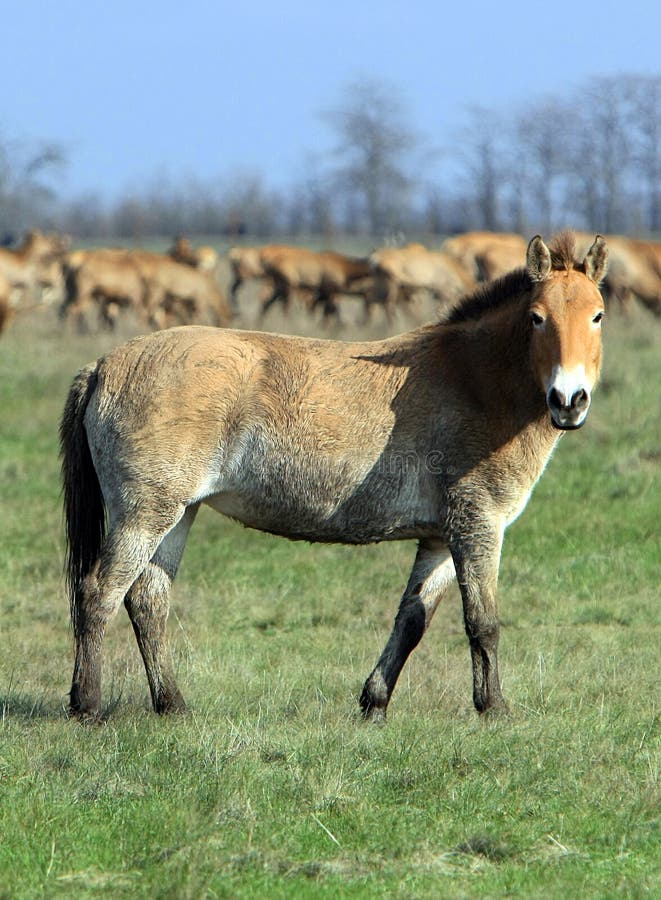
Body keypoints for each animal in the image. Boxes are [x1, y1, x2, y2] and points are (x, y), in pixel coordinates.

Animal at [60, 232, 608, 721]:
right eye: (537, 318)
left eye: (597, 316)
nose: (569, 399)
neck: (476, 379)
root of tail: (104, 365)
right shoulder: (478, 525)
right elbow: (482, 621)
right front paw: (494, 708)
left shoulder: (439, 537)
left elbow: (412, 620)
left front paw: (375, 703)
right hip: (145, 513)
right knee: (98, 595)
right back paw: (87, 706)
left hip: (178, 514)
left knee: (148, 602)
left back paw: (172, 705)